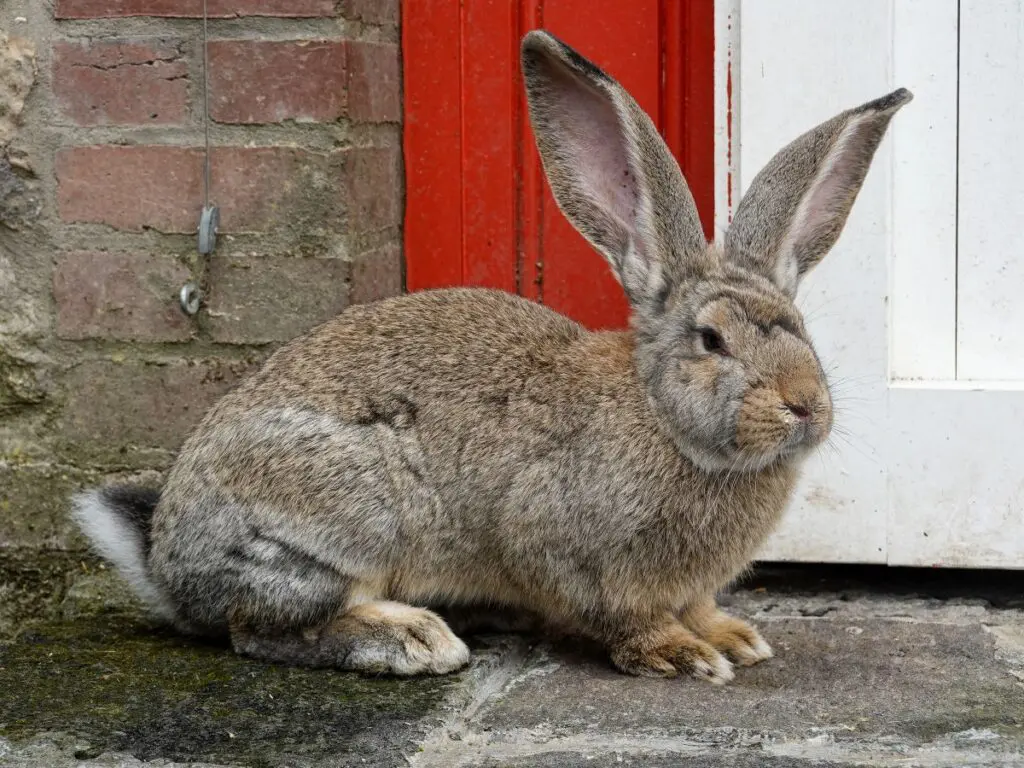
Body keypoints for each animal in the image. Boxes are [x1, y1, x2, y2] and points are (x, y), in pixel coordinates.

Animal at [71, 30, 911, 684]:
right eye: (711, 341)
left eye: (801, 330)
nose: (807, 406)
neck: (662, 419)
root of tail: (165, 560)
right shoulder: (567, 546)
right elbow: (623, 616)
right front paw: (682, 655)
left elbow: (700, 605)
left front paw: (733, 637)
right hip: (342, 519)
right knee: (260, 629)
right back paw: (409, 639)